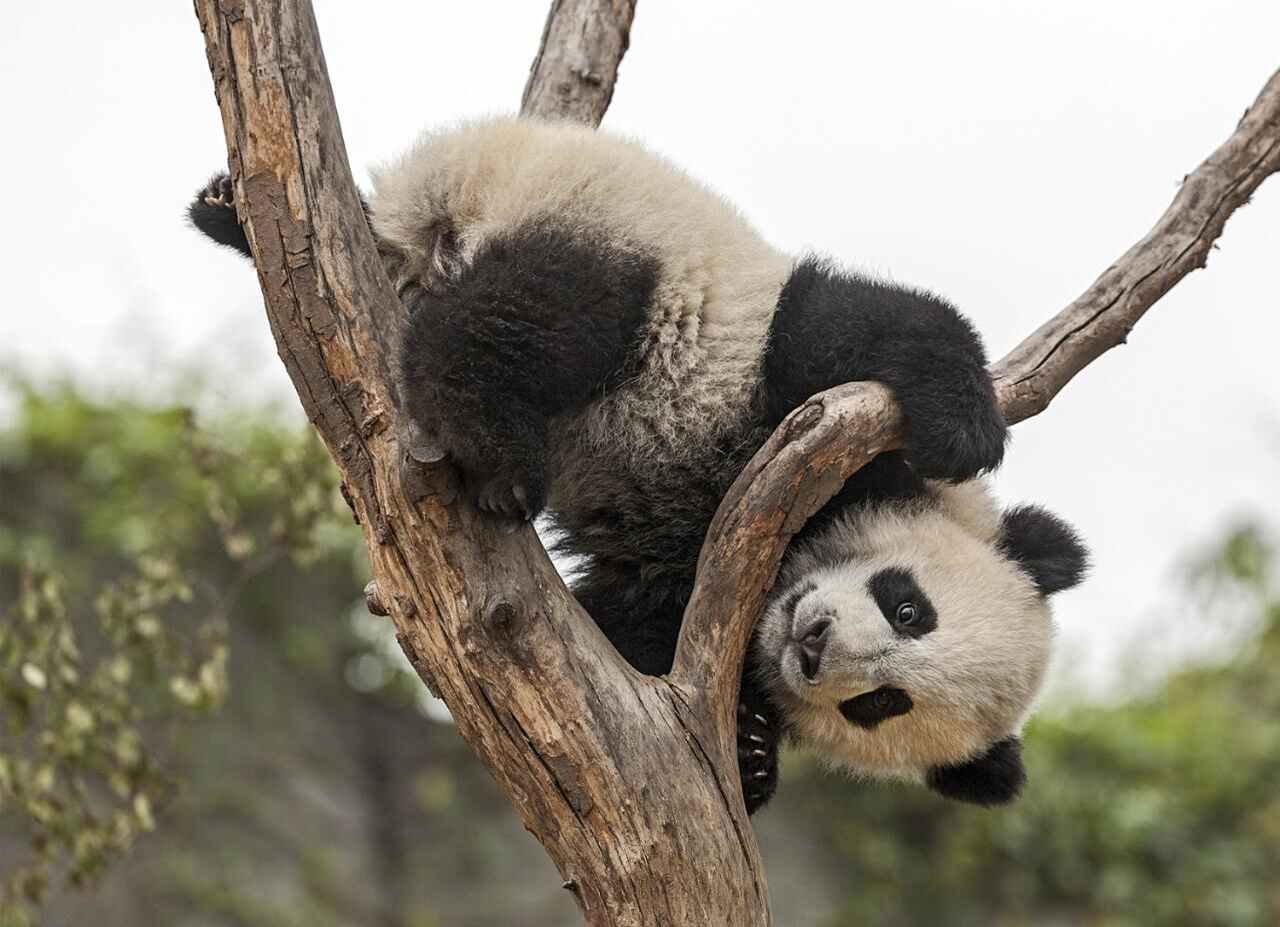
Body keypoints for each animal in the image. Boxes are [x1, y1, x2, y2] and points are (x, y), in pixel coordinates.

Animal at [189, 116, 1087, 814]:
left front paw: (751, 749)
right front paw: (967, 427)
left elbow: (626, 632)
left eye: (881, 702)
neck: (785, 564)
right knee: (534, 313)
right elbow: (871, 327)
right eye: (909, 607)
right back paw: (492, 448)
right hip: (598, 214)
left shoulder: (669, 586)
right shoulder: (802, 389)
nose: (814, 640)